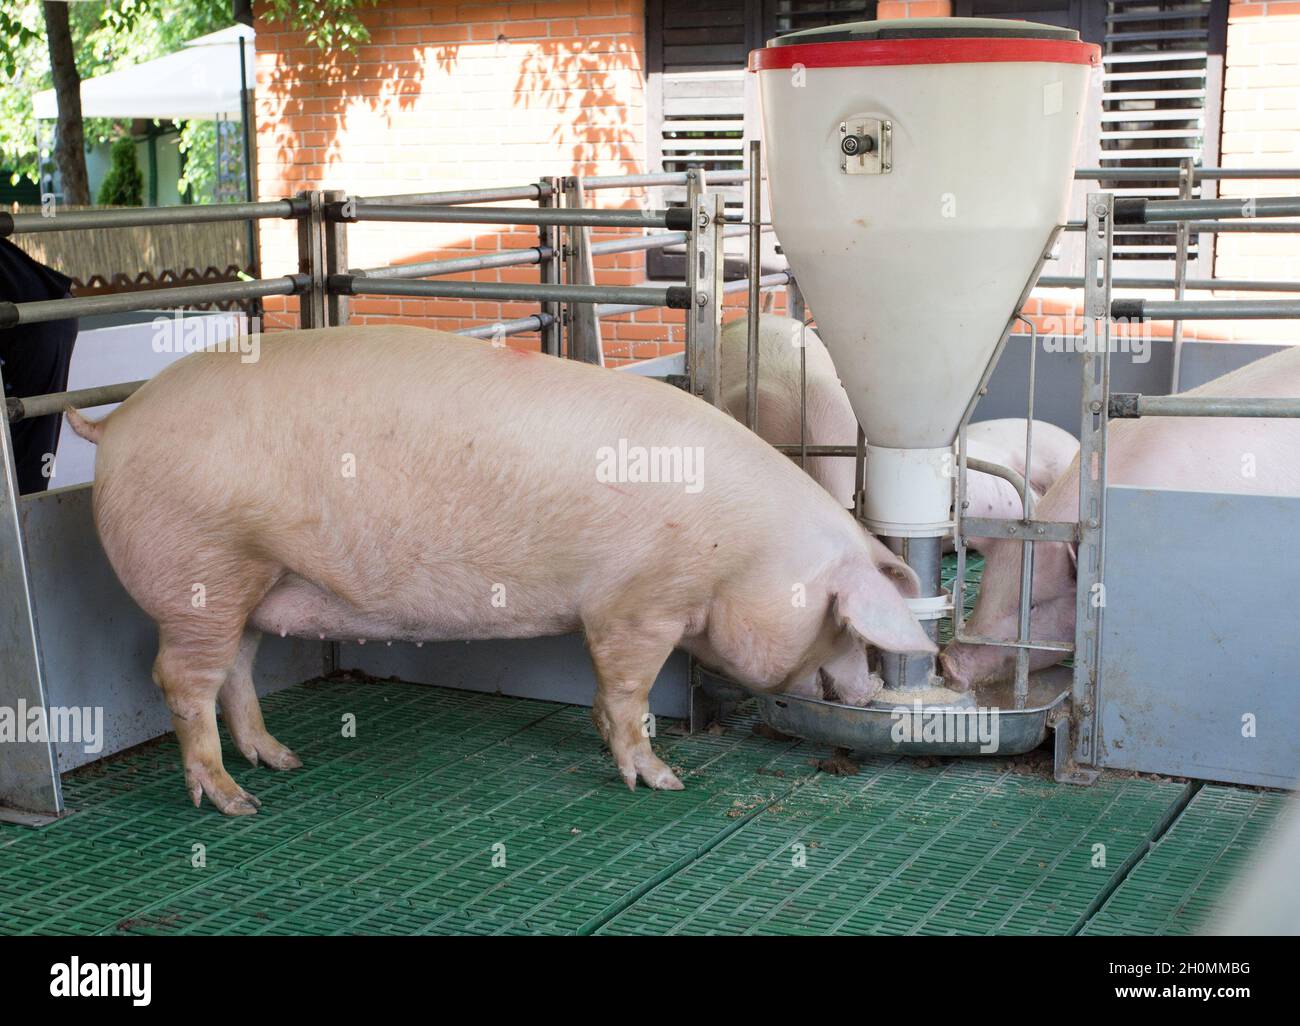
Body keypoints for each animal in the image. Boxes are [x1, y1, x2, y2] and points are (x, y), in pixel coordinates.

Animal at [67, 325, 934, 815]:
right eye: (843, 625)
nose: (870, 694)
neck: (745, 549)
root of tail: (117, 420)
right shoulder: (637, 605)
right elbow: (626, 692)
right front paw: (661, 781)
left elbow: (606, 696)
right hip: (200, 570)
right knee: (180, 681)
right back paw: (233, 804)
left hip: (250, 582)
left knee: (236, 674)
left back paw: (281, 761)